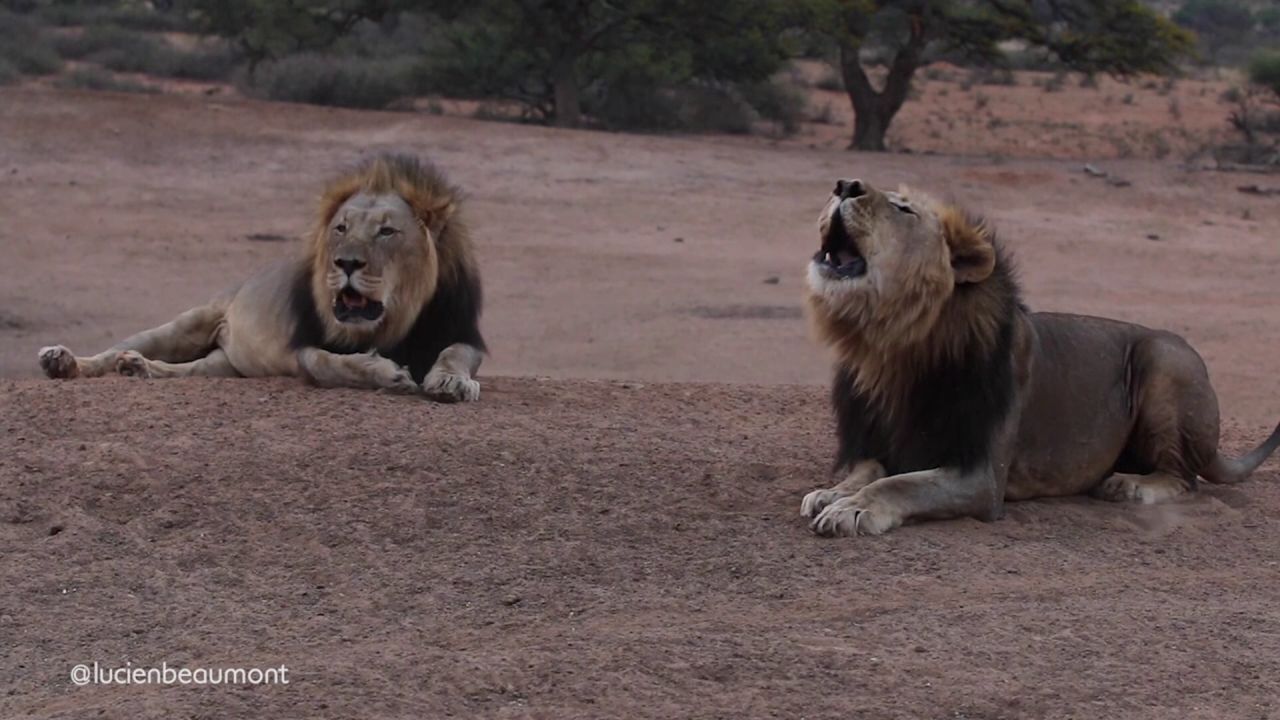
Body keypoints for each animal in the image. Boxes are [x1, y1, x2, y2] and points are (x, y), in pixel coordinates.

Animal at [37, 153, 485, 402]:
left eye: (387, 231)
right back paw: (64, 361)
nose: (345, 263)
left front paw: (450, 382)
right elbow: (332, 364)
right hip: (188, 324)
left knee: (186, 372)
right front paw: (386, 373)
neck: (395, 318)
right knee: (115, 351)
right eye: (341, 228)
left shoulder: (463, 332)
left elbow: (454, 354)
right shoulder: (304, 347)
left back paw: (137, 369)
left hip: (226, 365)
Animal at [800, 178, 1280, 537]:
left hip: (1164, 357)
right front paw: (832, 493)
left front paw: (853, 509)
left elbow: (899, 485)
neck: (893, 345)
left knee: (1186, 478)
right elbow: (870, 470)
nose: (845, 185)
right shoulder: (877, 438)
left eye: (905, 209)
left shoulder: (982, 476)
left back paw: (1129, 486)